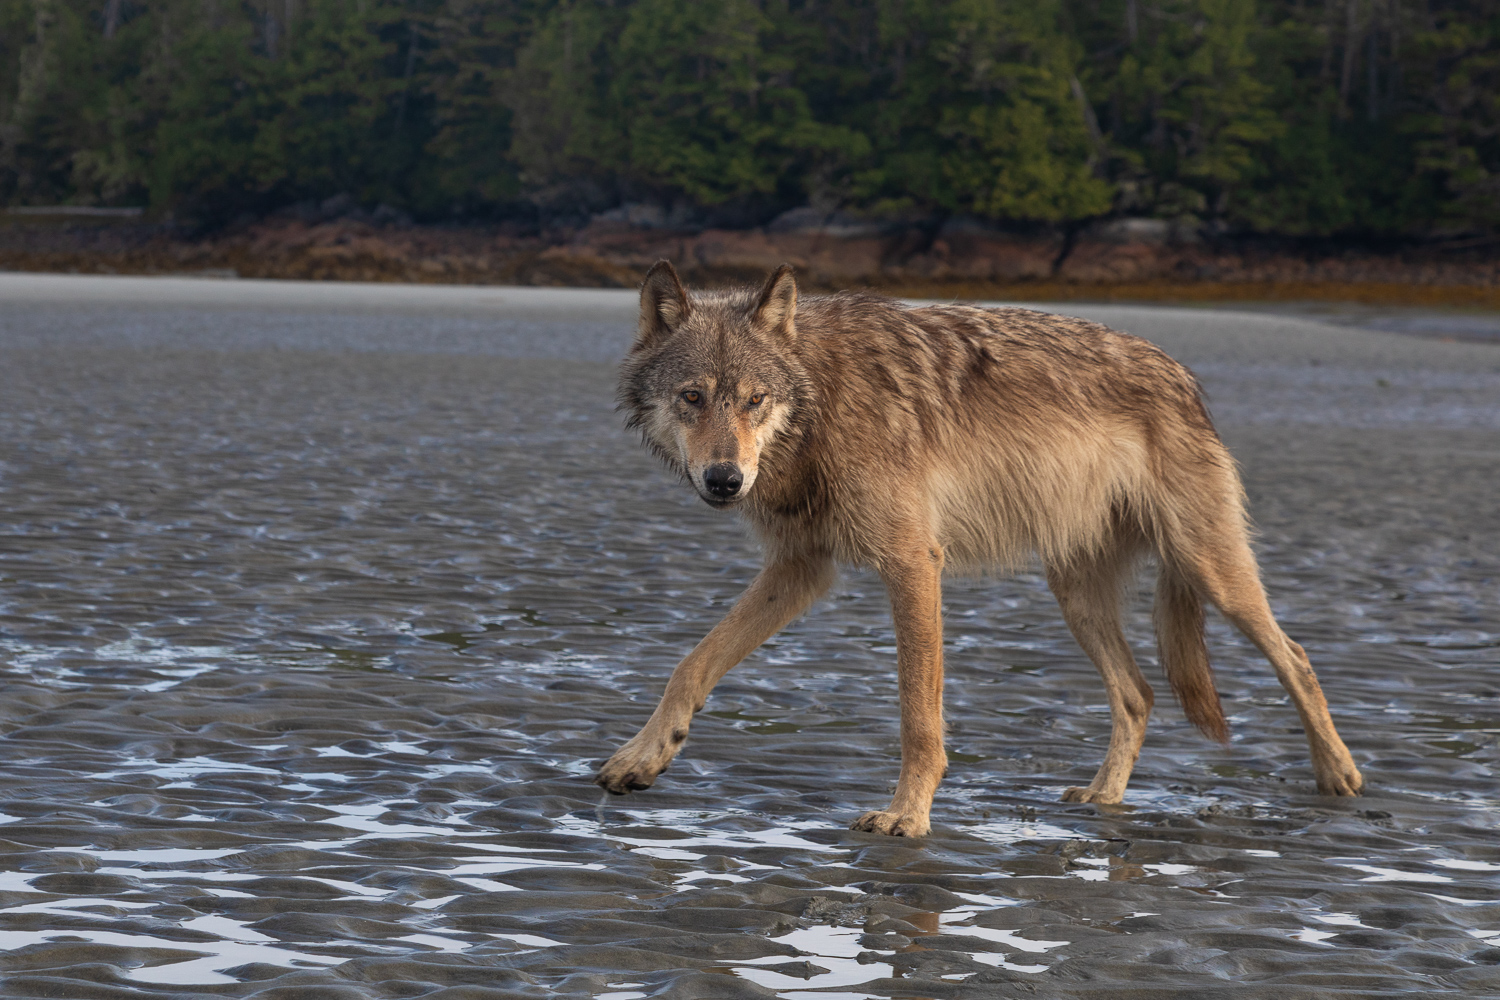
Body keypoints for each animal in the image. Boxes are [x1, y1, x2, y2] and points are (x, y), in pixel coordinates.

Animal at [595, 261, 1363, 837]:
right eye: (693, 397)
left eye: (755, 400)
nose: (725, 479)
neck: (820, 401)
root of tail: (1185, 377)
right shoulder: (801, 569)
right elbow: (691, 665)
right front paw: (642, 758)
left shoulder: (911, 563)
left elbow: (918, 718)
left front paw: (907, 817)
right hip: (1076, 596)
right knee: (1140, 694)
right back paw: (1104, 799)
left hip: (1212, 575)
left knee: (1297, 656)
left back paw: (1339, 775)